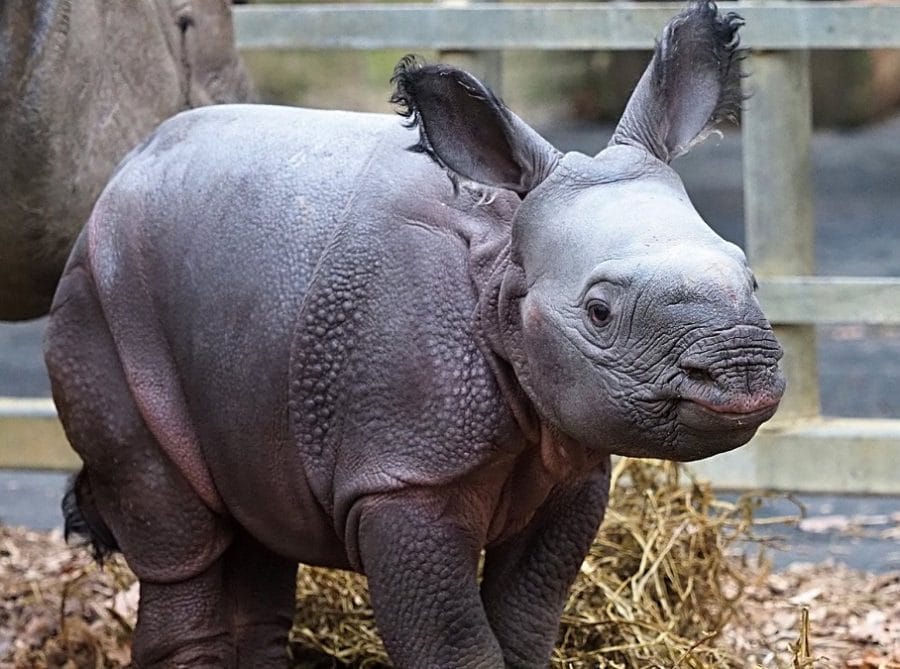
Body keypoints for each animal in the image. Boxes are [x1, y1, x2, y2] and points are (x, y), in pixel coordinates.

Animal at [45, 3, 785, 667]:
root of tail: (120, 175)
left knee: (256, 521)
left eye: (750, 275)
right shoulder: (402, 475)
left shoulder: (571, 462)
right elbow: (453, 645)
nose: (742, 367)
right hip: (95, 298)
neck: (502, 270)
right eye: (600, 311)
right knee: (178, 536)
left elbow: (527, 622)